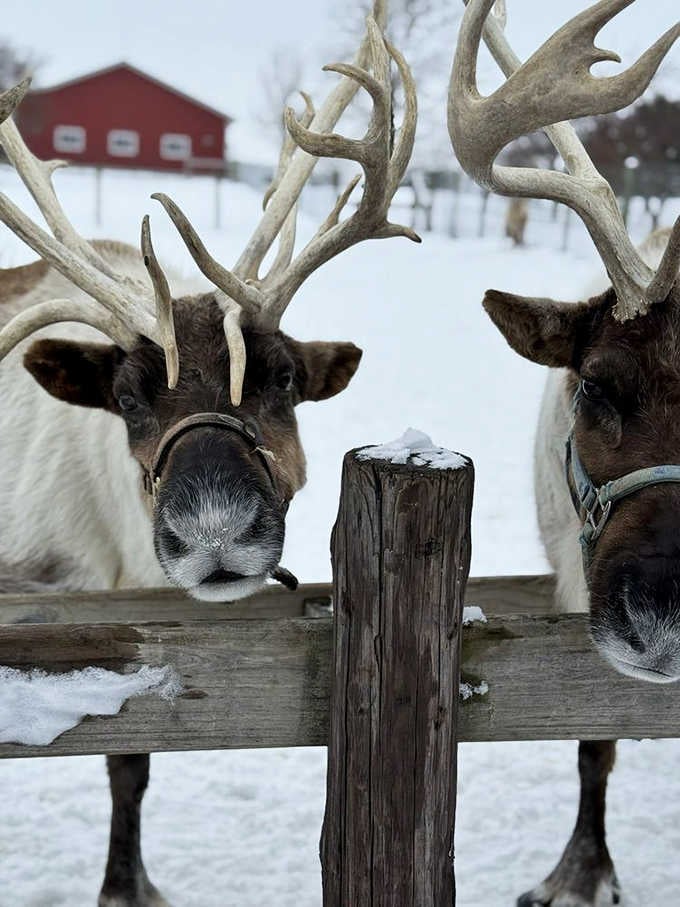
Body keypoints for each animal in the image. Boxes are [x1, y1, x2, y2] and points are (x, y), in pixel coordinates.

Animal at [0, 7, 418, 904]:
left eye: (285, 376)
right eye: (125, 398)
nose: (216, 531)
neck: (118, 556)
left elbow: (131, 763)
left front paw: (128, 882)